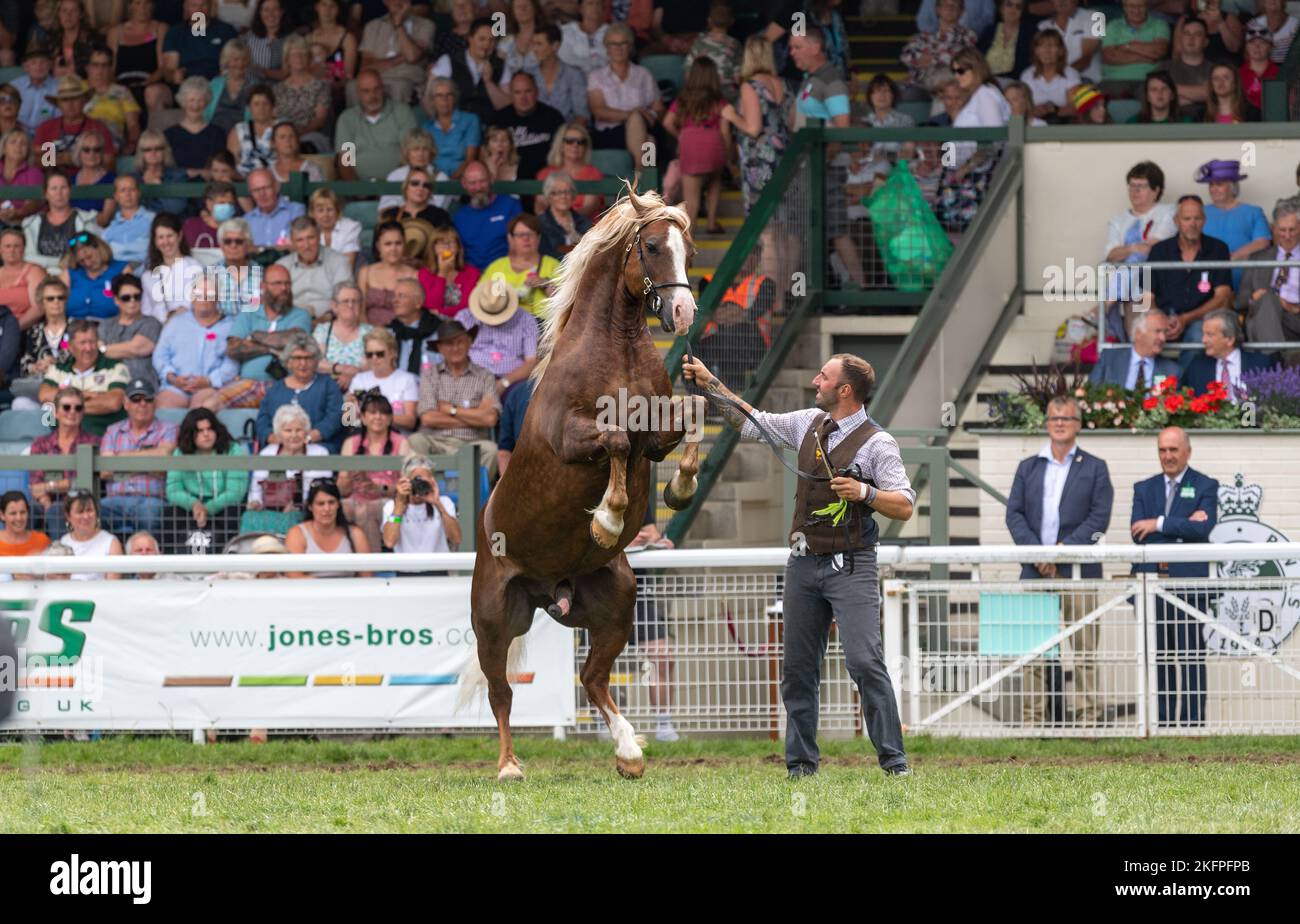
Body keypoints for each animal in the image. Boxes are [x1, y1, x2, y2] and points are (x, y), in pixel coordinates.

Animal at [461, 185, 704, 781]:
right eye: (653, 246)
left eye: (688, 248)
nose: (683, 312)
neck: (615, 348)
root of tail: (553, 590)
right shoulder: (574, 439)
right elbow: (614, 441)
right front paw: (608, 519)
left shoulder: (657, 434)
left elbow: (696, 409)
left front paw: (680, 489)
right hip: (494, 619)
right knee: (501, 692)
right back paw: (509, 766)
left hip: (616, 604)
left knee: (593, 678)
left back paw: (629, 751)